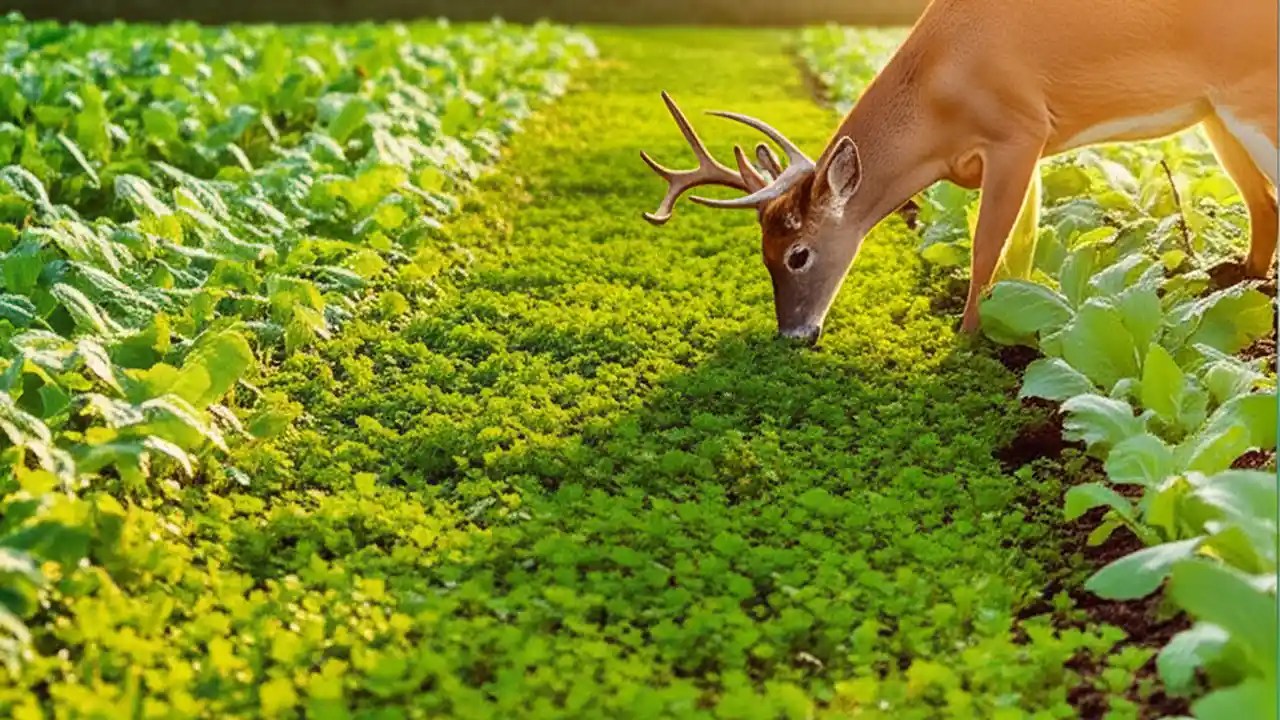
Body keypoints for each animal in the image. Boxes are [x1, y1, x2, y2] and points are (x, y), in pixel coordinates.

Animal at [640, 0, 1278, 345]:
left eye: (798, 254)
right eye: (763, 254)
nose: (793, 336)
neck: (939, 87)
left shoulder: (1019, 129)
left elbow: (986, 242)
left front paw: (968, 336)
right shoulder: (1024, 149)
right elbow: (1021, 247)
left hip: (1253, 98)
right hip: (1214, 113)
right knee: (1262, 202)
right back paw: (1237, 281)